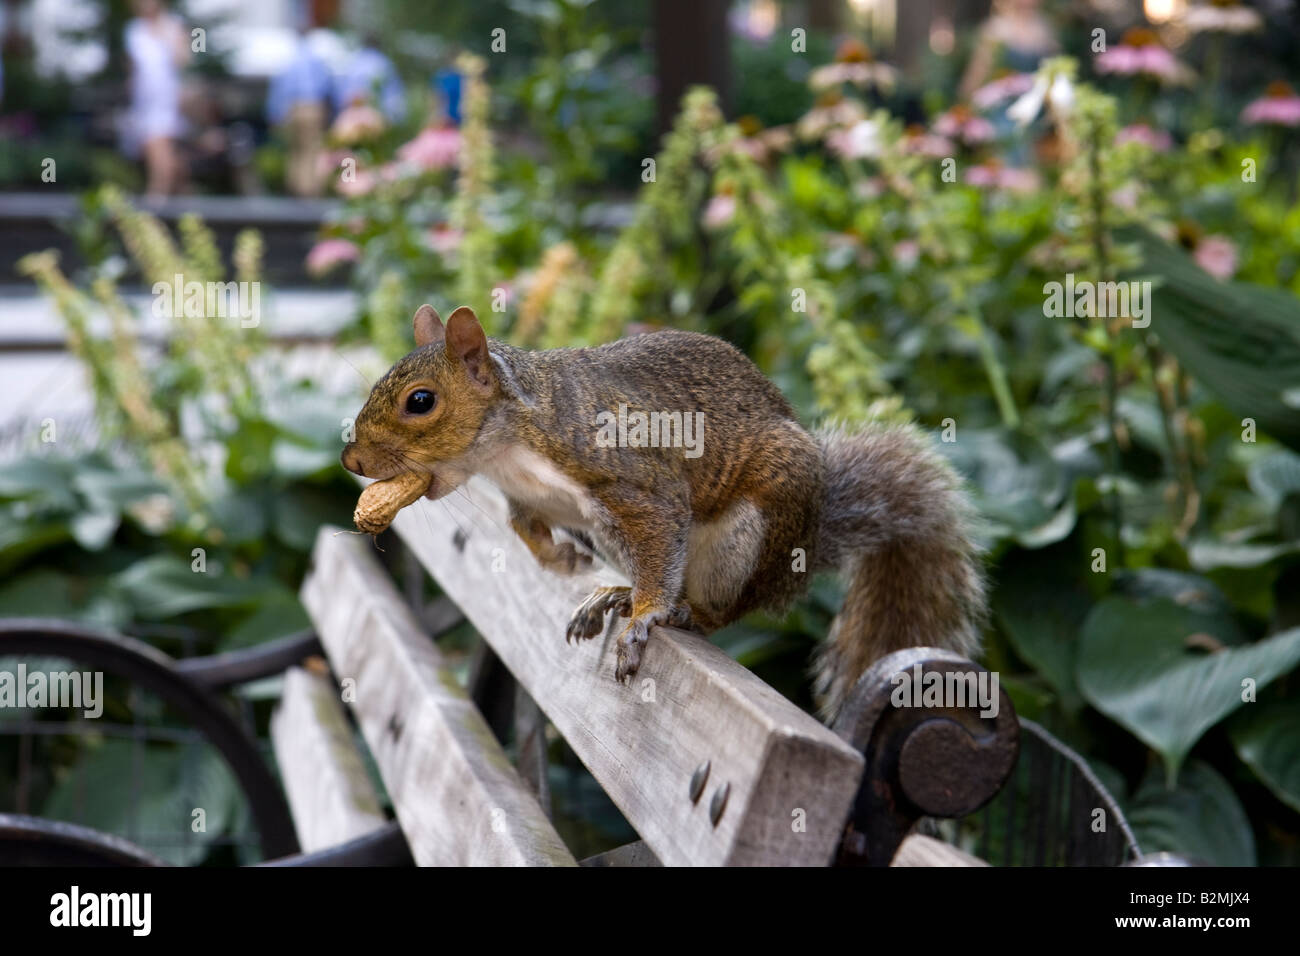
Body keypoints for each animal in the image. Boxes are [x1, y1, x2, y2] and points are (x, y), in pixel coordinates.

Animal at [342, 304, 987, 720]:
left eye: (420, 401)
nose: (351, 459)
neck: (505, 451)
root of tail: (802, 546)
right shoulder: (533, 499)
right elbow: (524, 527)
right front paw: (562, 561)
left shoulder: (636, 484)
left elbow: (659, 532)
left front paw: (647, 617)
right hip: (612, 532)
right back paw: (615, 594)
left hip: (748, 537)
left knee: (722, 609)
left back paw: (677, 611)